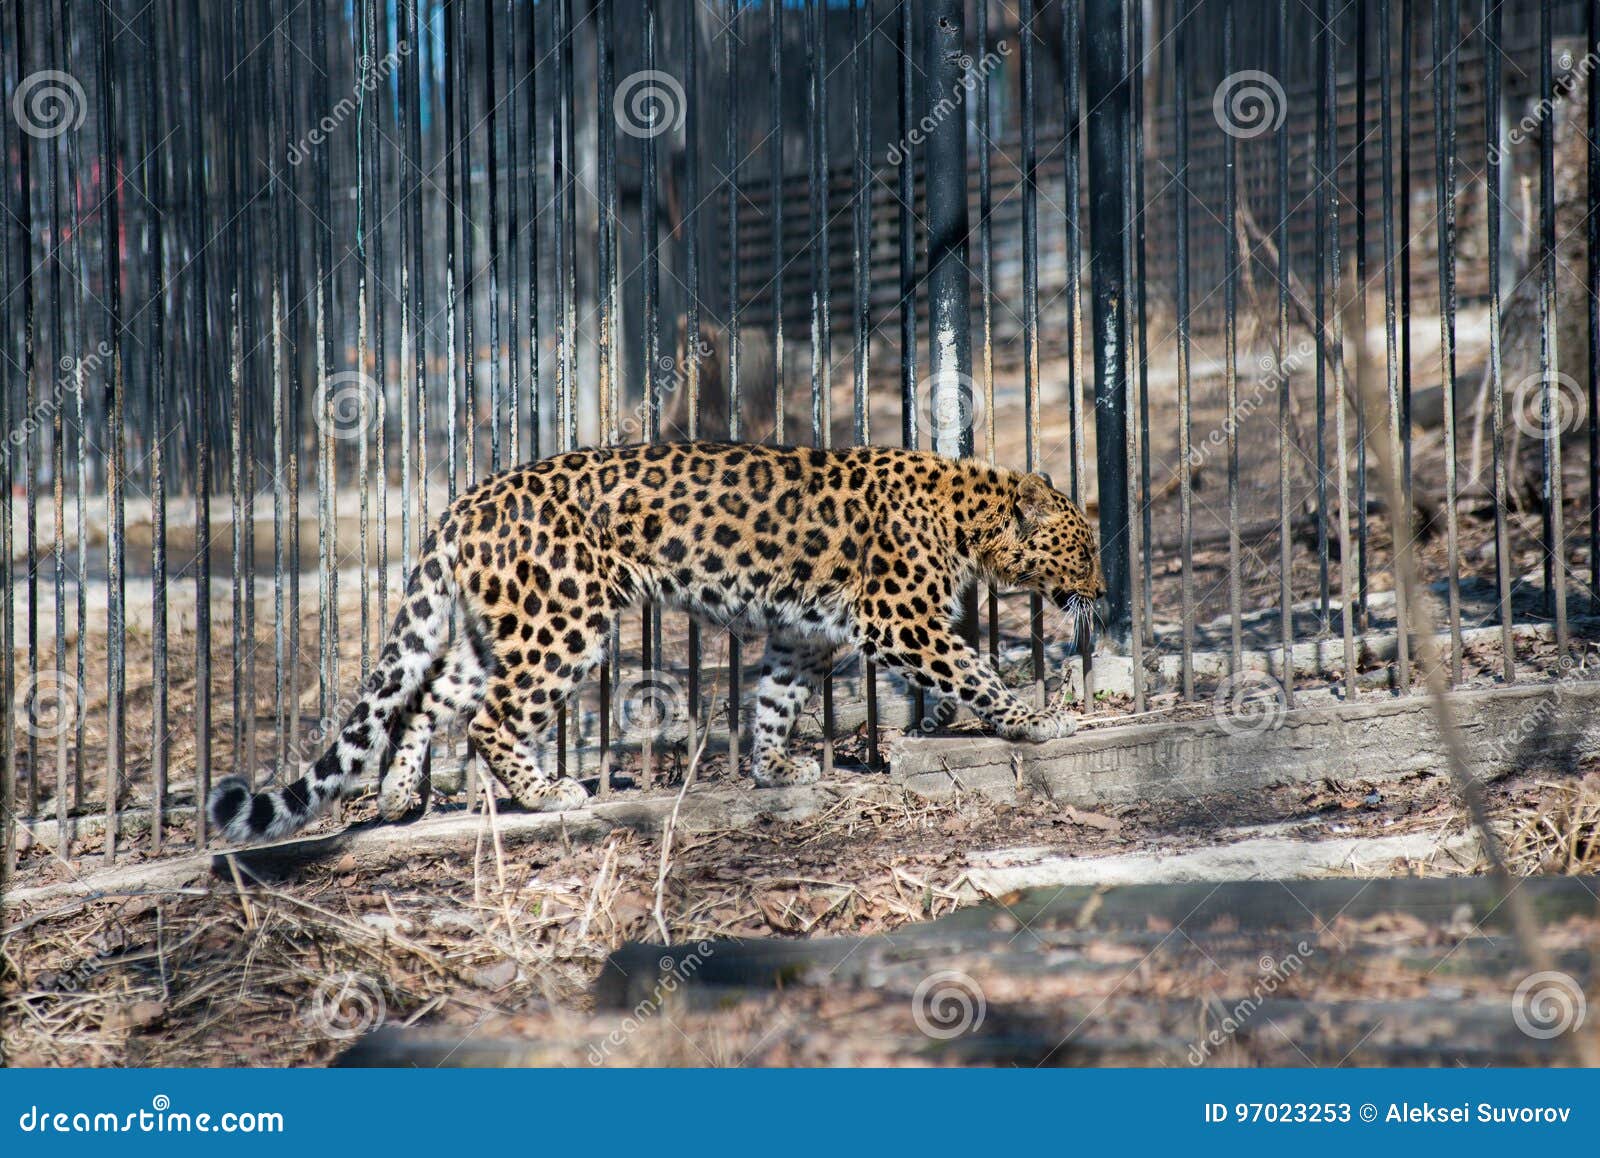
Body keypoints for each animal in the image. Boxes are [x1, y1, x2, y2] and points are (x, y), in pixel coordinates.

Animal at [208, 441, 1105, 843]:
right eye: (1086, 547)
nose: (1101, 592)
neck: (970, 515)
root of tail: (469, 499)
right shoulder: (902, 620)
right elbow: (972, 668)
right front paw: (1034, 720)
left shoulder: (801, 635)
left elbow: (775, 700)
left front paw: (773, 769)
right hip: (565, 620)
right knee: (493, 716)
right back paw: (548, 794)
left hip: (498, 626)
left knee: (430, 695)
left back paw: (400, 796)